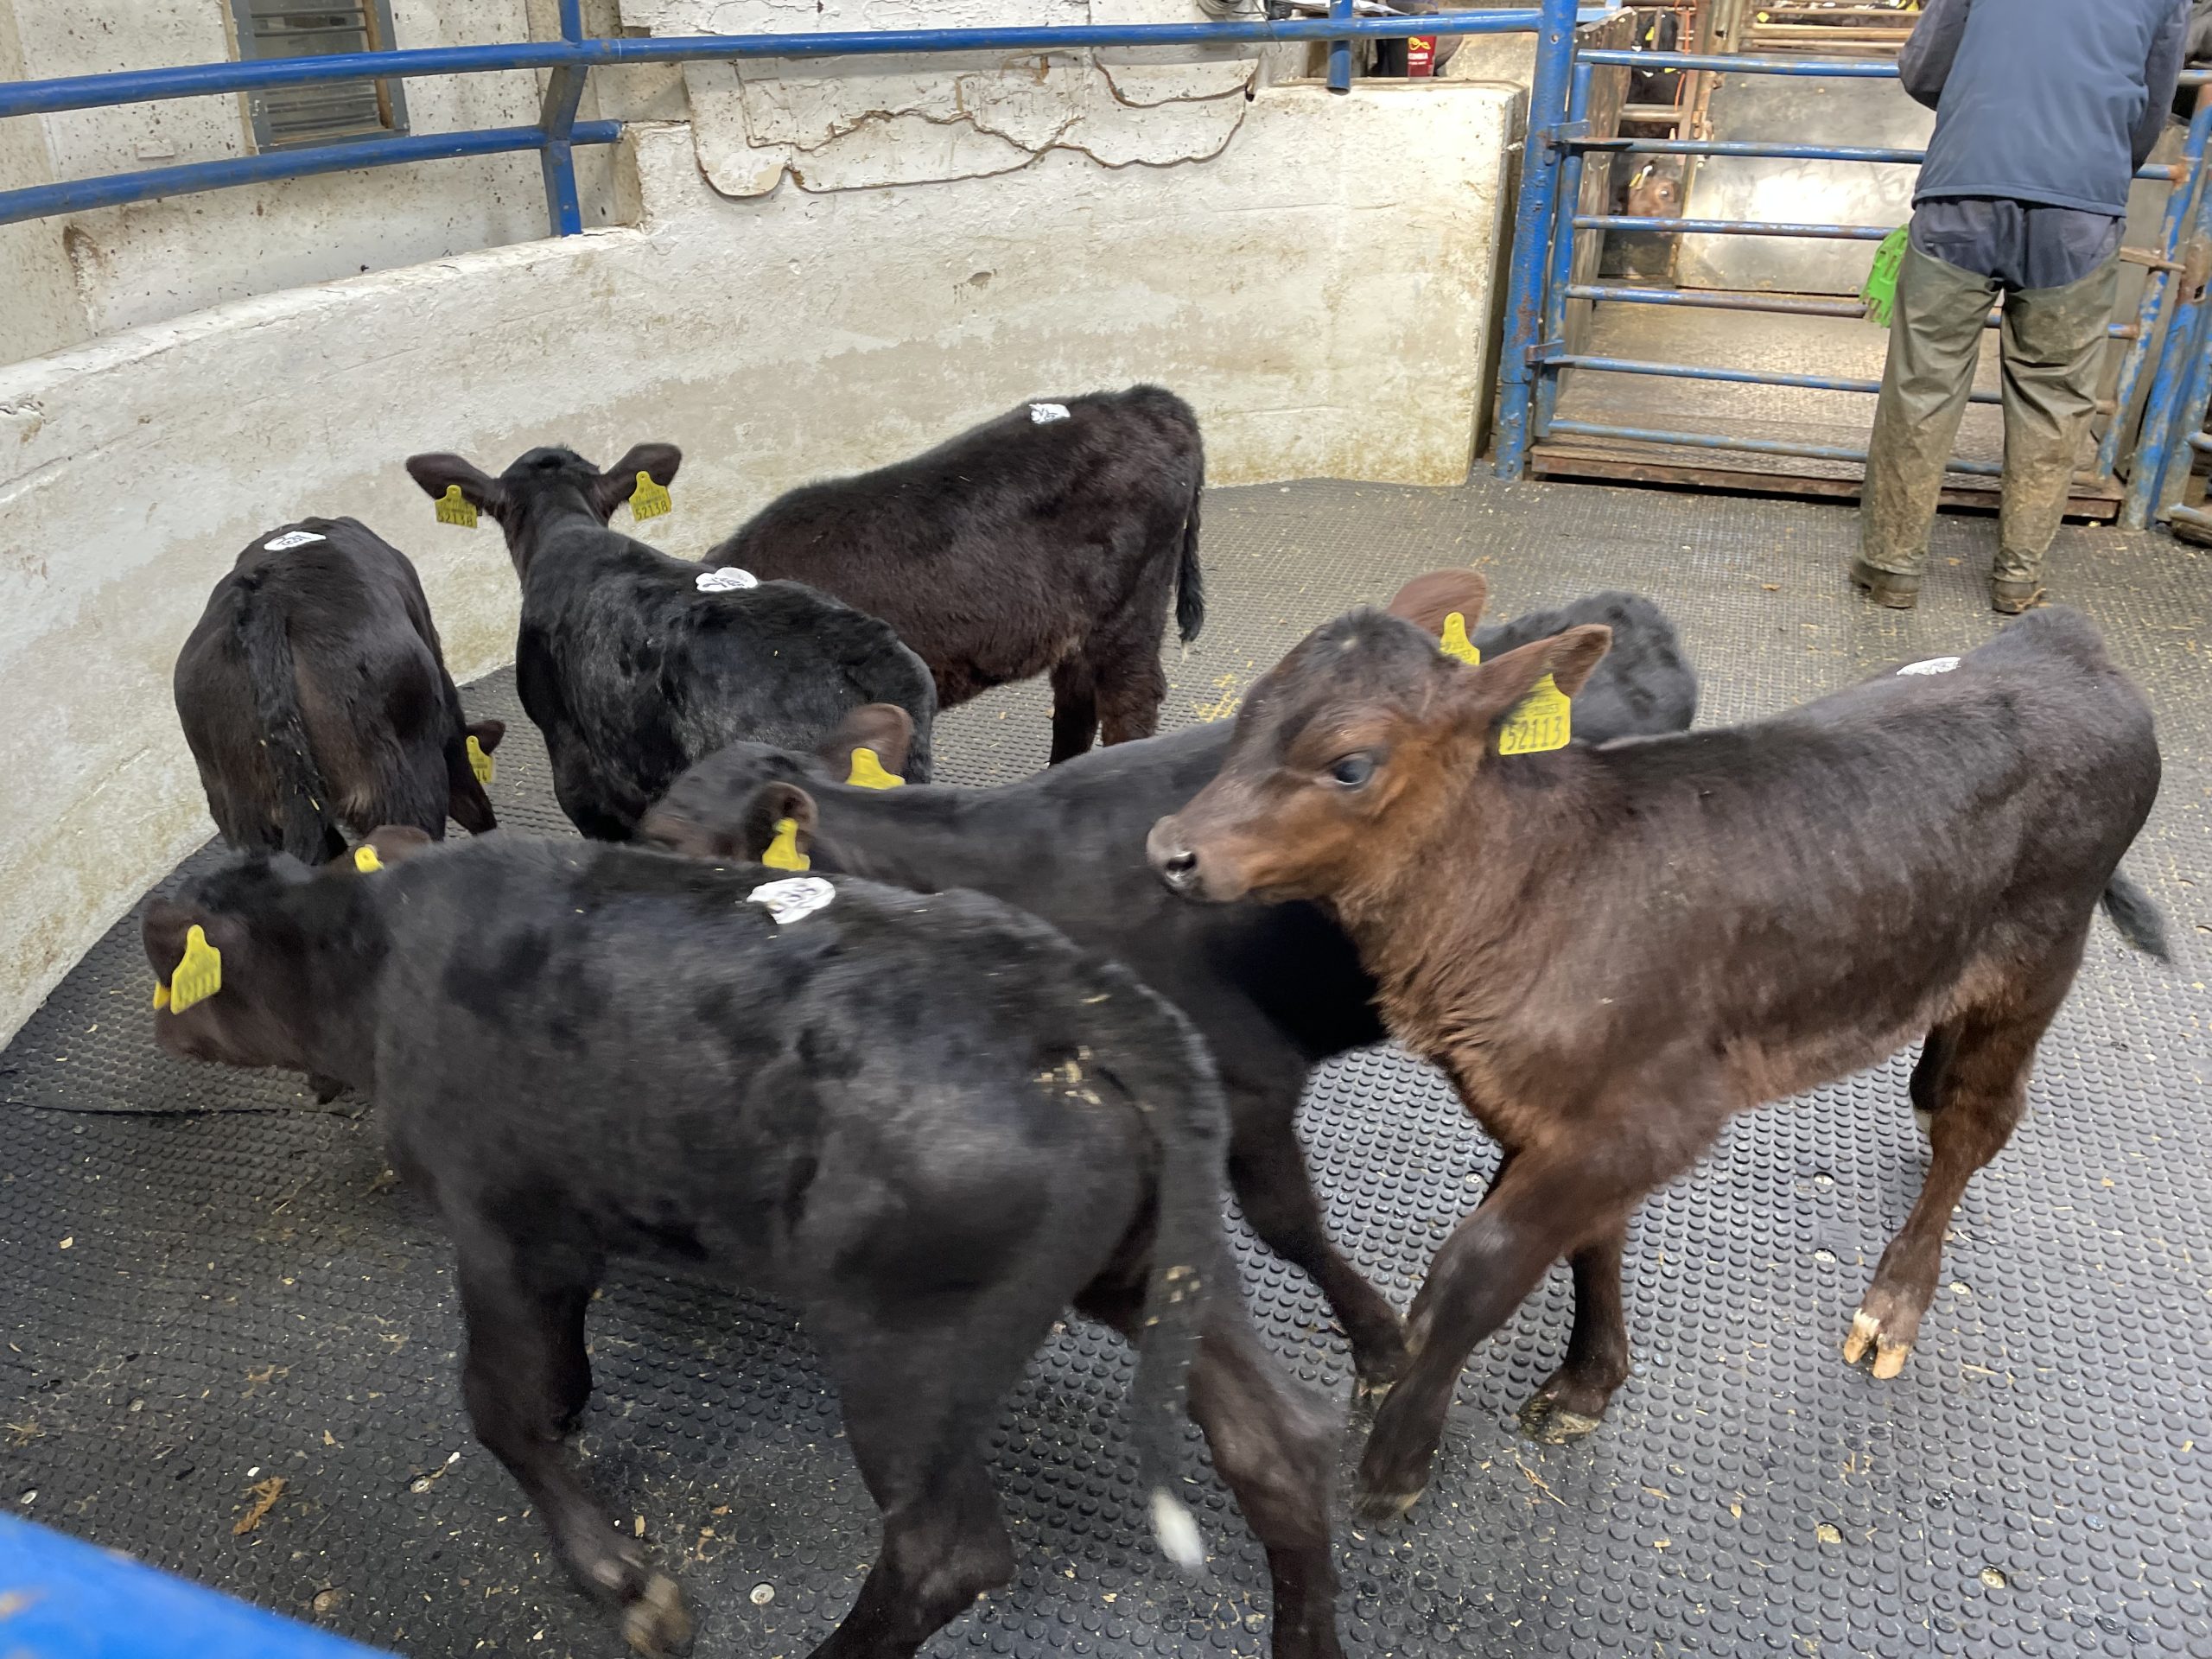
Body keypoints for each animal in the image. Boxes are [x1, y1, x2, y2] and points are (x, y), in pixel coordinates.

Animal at [143, 832, 1345, 1659]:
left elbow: (495, 1406)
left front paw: (620, 1581)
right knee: (1276, 1452)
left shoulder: (495, 1223)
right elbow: (554, 1370)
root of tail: (1063, 989)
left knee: (945, 1551)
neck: (369, 962)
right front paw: (575, 1411)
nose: (160, 1026)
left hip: (901, 1343)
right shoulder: (568, 1226)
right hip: (1168, 1268)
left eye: (169, 962)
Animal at [1147, 602, 2169, 1523]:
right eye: (1247, 719)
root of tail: (2060, 644)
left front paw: (1398, 1458)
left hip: (2041, 956)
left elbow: (1477, 1267)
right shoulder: (1544, 1106)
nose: (1169, 849)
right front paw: (1587, 1385)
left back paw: (1894, 1304)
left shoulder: (1659, 1113)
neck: (1530, 880)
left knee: (1976, 1121)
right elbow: (1587, 1239)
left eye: (1350, 764)